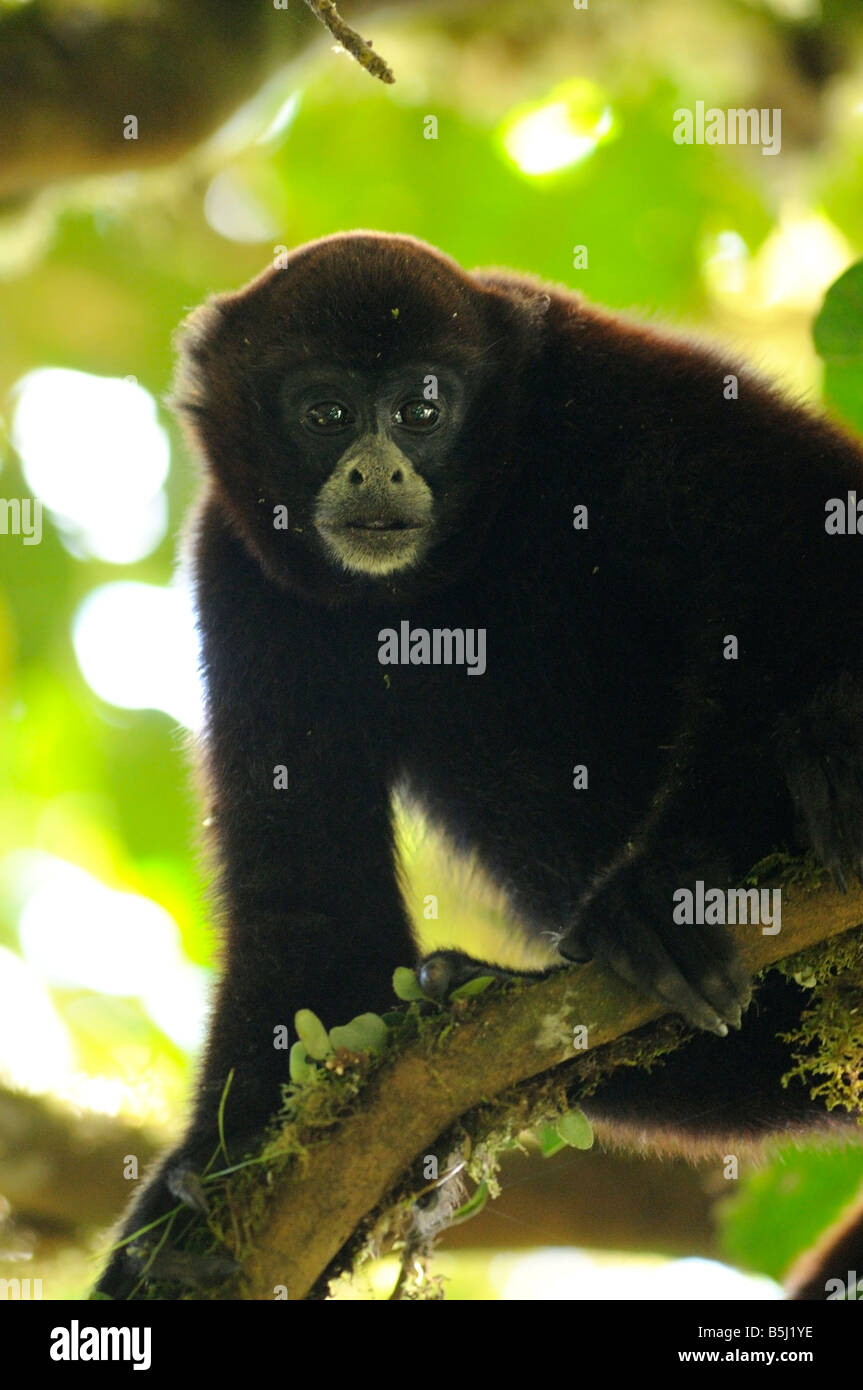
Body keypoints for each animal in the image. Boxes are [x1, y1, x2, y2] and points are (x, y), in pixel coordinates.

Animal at [96, 230, 863, 1299]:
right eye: (326, 413)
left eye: (422, 411)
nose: (374, 472)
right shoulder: (238, 566)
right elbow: (312, 918)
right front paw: (201, 1183)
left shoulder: (601, 381)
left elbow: (813, 535)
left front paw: (671, 887)